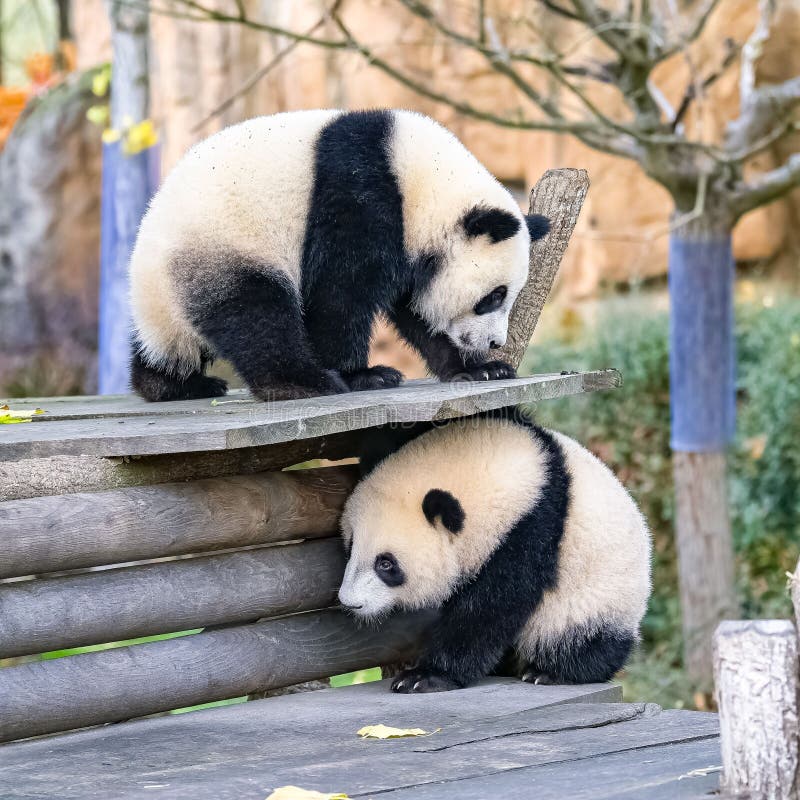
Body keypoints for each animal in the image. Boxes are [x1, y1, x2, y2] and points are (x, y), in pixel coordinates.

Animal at [128, 109, 550, 402]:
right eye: (493, 296)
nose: (494, 342)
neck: (416, 179)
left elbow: (415, 310)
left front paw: (480, 370)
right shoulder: (359, 198)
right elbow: (340, 295)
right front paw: (362, 375)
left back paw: (170, 383)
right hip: (226, 245)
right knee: (255, 313)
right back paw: (300, 382)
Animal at [337, 407, 652, 692]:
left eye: (386, 564)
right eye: (351, 546)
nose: (350, 602)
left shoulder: (529, 531)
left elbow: (492, 608)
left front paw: (424, 677)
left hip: (595, 601)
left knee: (581, 638)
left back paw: (552, 672)